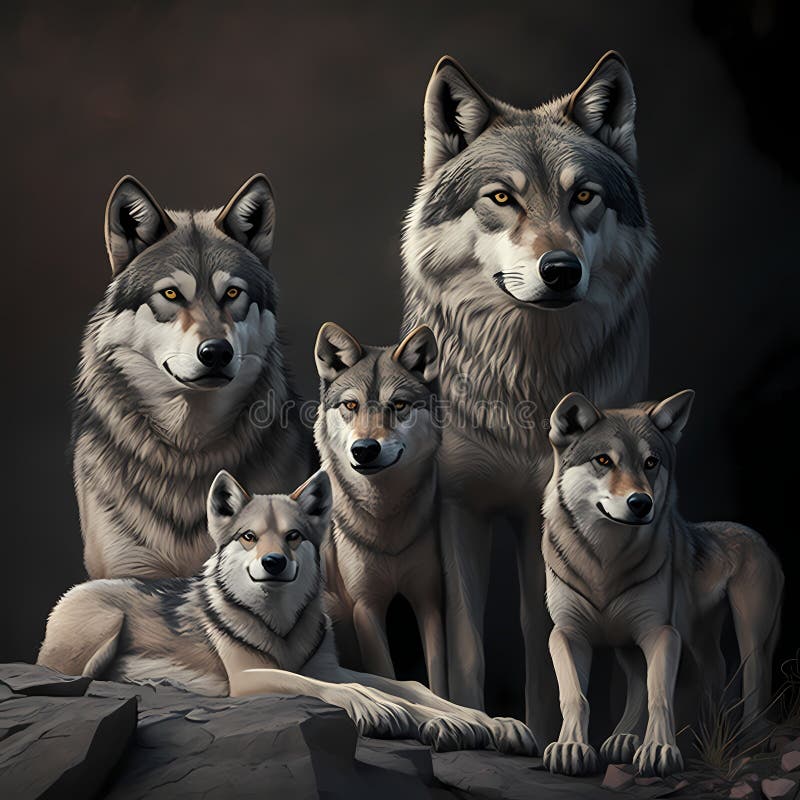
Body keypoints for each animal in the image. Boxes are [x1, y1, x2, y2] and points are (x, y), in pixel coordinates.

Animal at [38, 470, 536, 755]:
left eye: (294, 536)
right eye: (249, 537)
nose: (273, 562)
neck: (280, 625)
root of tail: (76, 588)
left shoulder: (328, 667)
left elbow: (411, 686)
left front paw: (483, 721)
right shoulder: (248, 680)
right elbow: (339, 689)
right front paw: (385, 710)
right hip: (103, 629)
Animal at [313, 322, 446, 696]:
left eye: (398, 404)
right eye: (351, 404)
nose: (364, 449)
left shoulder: (429, 600)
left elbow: (439, 676)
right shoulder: (365, 607)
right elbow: (387, 674)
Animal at [401, 50, 656, 739]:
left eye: (583, 196)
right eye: (501, 197)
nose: (560, 269)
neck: (528, 388)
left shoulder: (550, 525)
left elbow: (546, 645)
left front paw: (548, 736)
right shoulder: (459, 508)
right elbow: (468, 644)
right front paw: (473, 722)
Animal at [541, 390, 783, 776]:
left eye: (651, 462)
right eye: (603, 460)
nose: (641, 503)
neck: (604, 561)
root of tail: (760, 538)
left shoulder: (661, 633)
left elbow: (659, 696)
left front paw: (658, 750)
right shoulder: (567, 634)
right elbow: (575, 695)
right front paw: (570, 748)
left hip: (747, 633)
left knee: (752, 678)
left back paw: (749, 740)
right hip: (651, 641)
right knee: (707, 670)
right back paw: (630, 738)